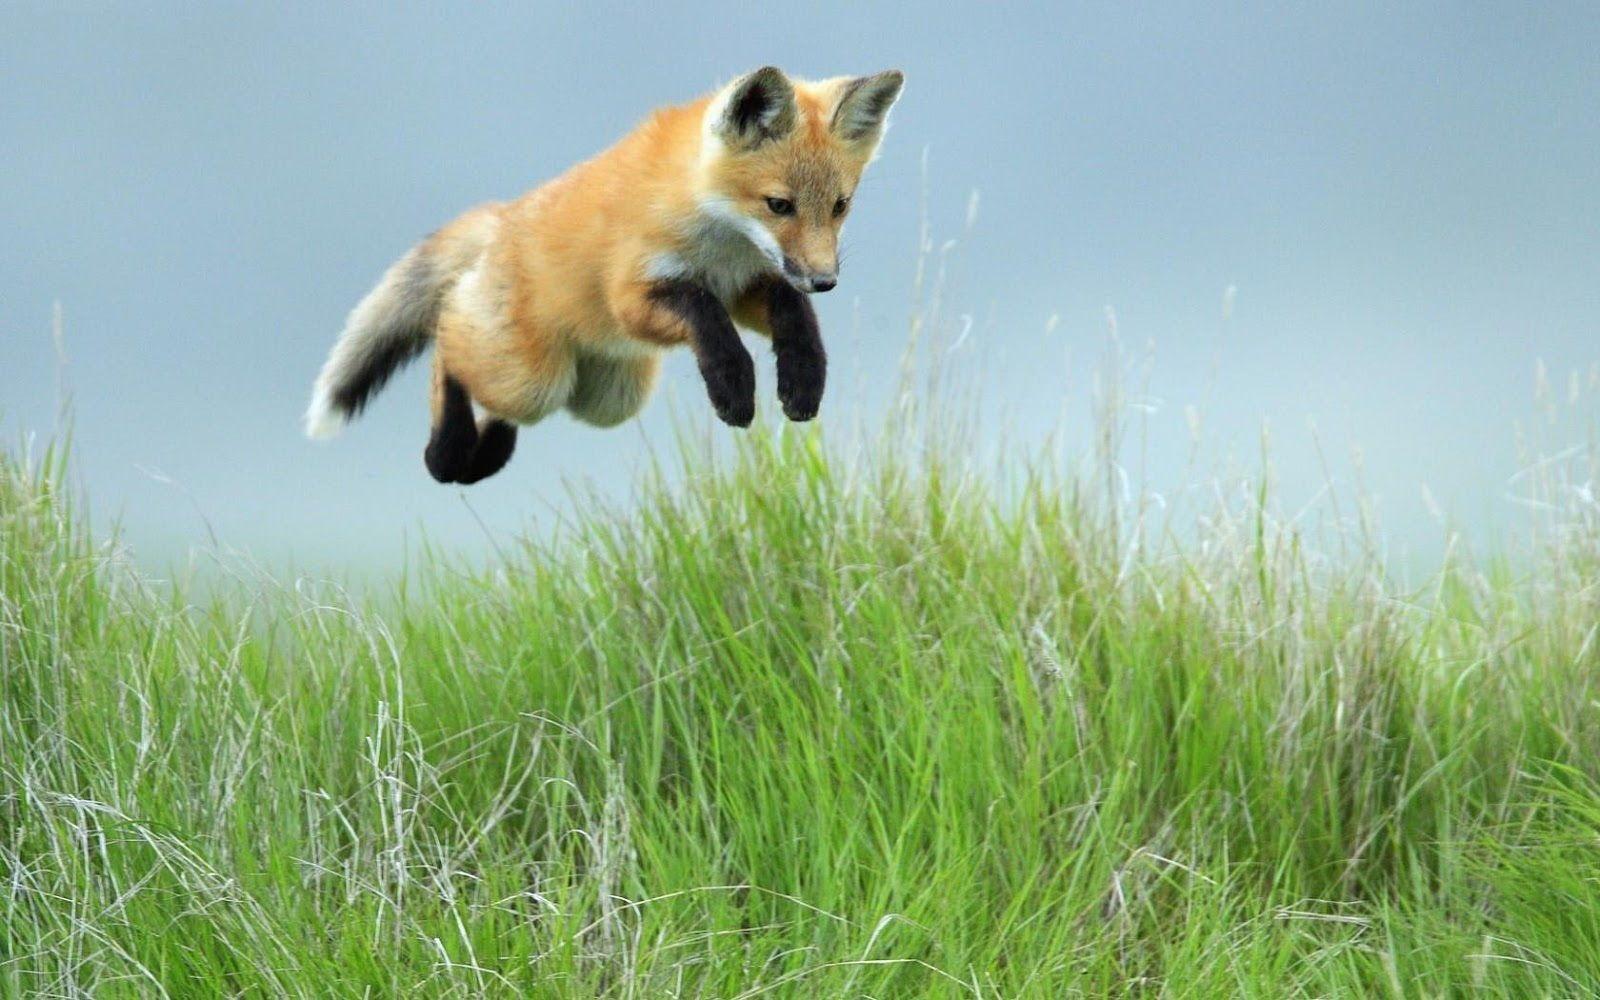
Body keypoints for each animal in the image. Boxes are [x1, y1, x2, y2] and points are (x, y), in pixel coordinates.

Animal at [304, 66, 905, 485]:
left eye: (840, 207)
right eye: (779, 205)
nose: (826, 280)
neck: (720, 243)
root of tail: (502, 217)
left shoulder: (749, 283)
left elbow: (792, 313)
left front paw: (803, 377)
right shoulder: (634, 296)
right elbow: (703, 312)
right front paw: (733, 385)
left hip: (606, 399)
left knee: (502, 404)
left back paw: (480, 457)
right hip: (532, 378)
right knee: (447, 343)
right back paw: (445, 451)